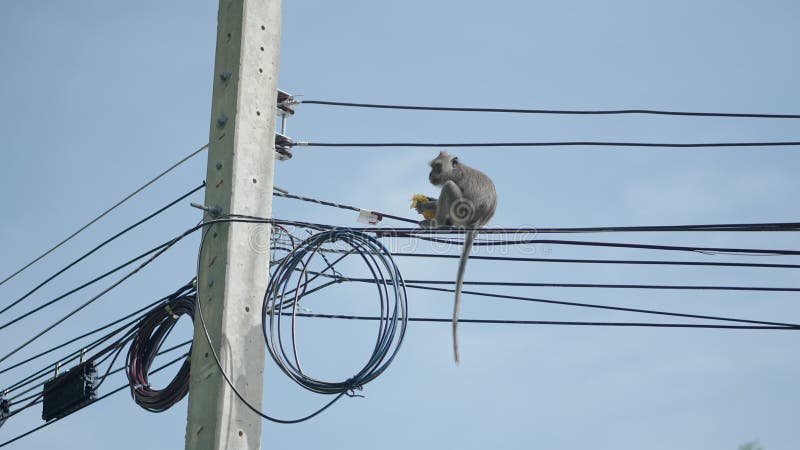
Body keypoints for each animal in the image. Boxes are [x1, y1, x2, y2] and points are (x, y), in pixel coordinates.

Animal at [416, 151, 497, 363]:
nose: (430, 175)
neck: (456, 169)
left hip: (462, 212)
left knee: (449, 188)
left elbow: (450, 185)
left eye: (436, 167)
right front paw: (427, 202)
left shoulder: (455, 181)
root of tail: (478, 222)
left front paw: (428, 205)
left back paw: (438, 224)